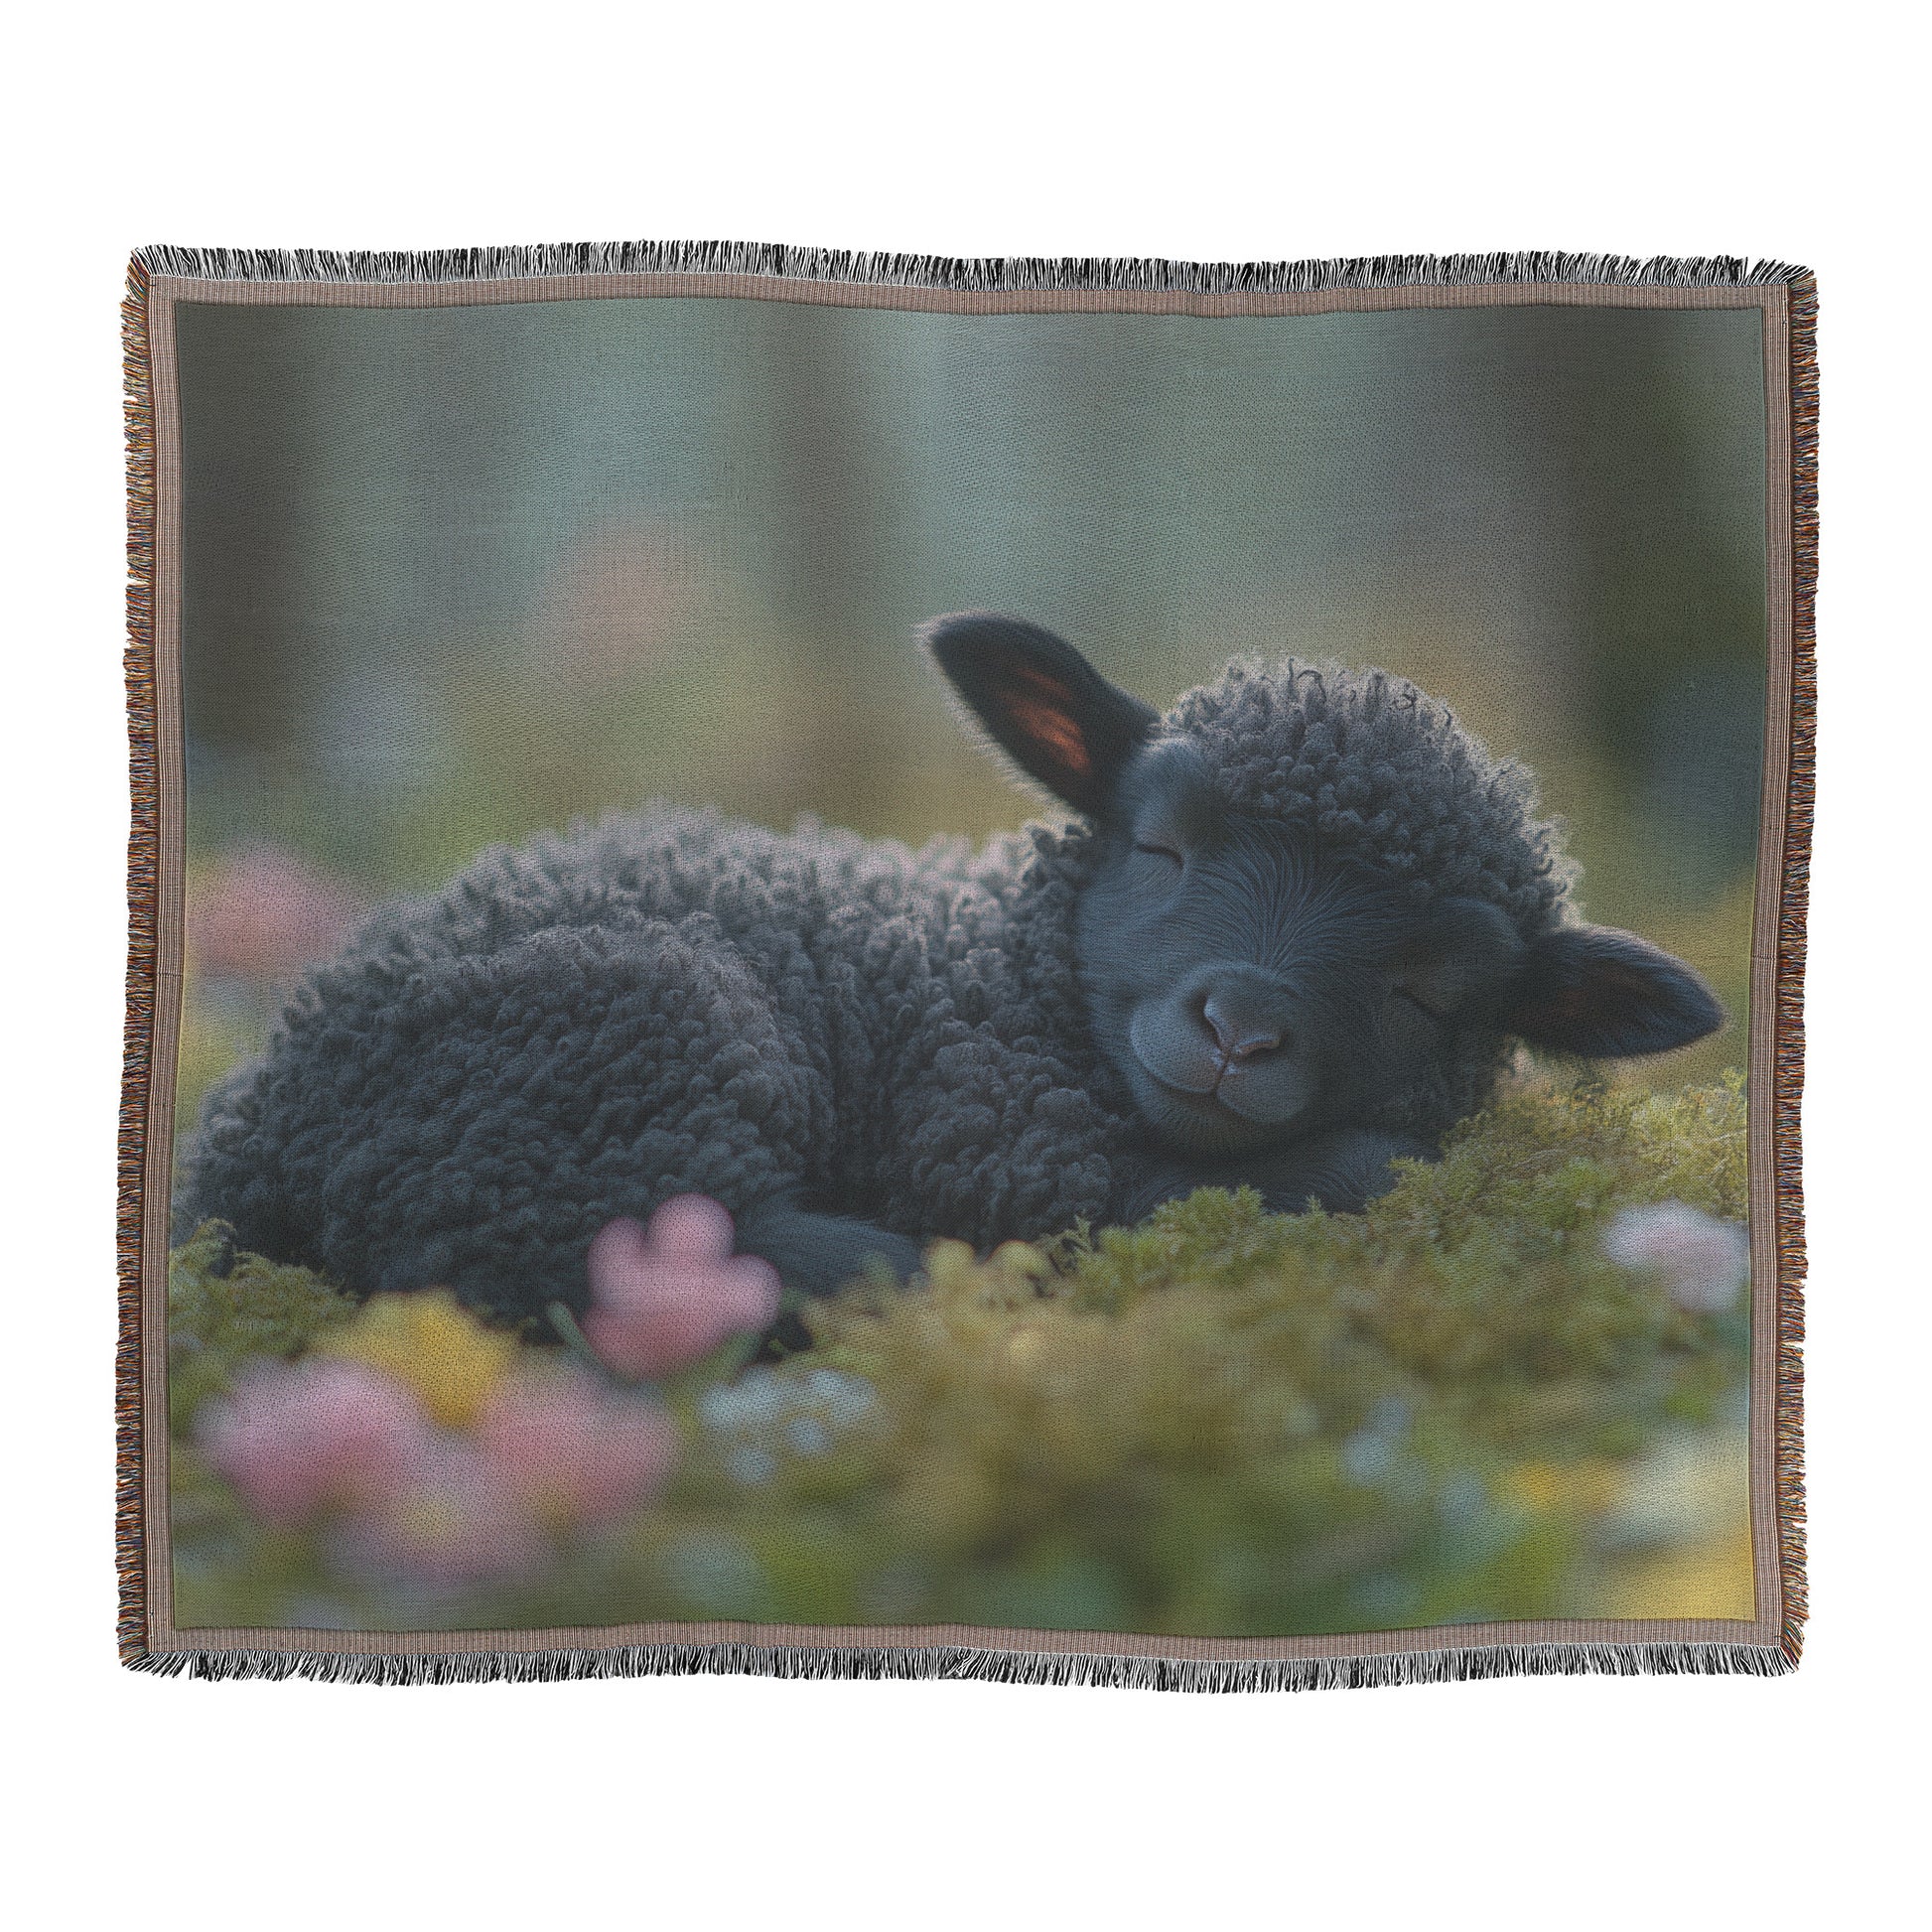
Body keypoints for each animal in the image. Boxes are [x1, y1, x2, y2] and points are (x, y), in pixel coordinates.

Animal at [182, 613, 1723, 1323]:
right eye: (1159, 845)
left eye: (1425, 991)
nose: (1238, 1026)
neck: (991, 961)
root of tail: (249, 1138)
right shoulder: (998, 1144)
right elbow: (1292, 1178)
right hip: (609, 1051)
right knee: (548, 1255)